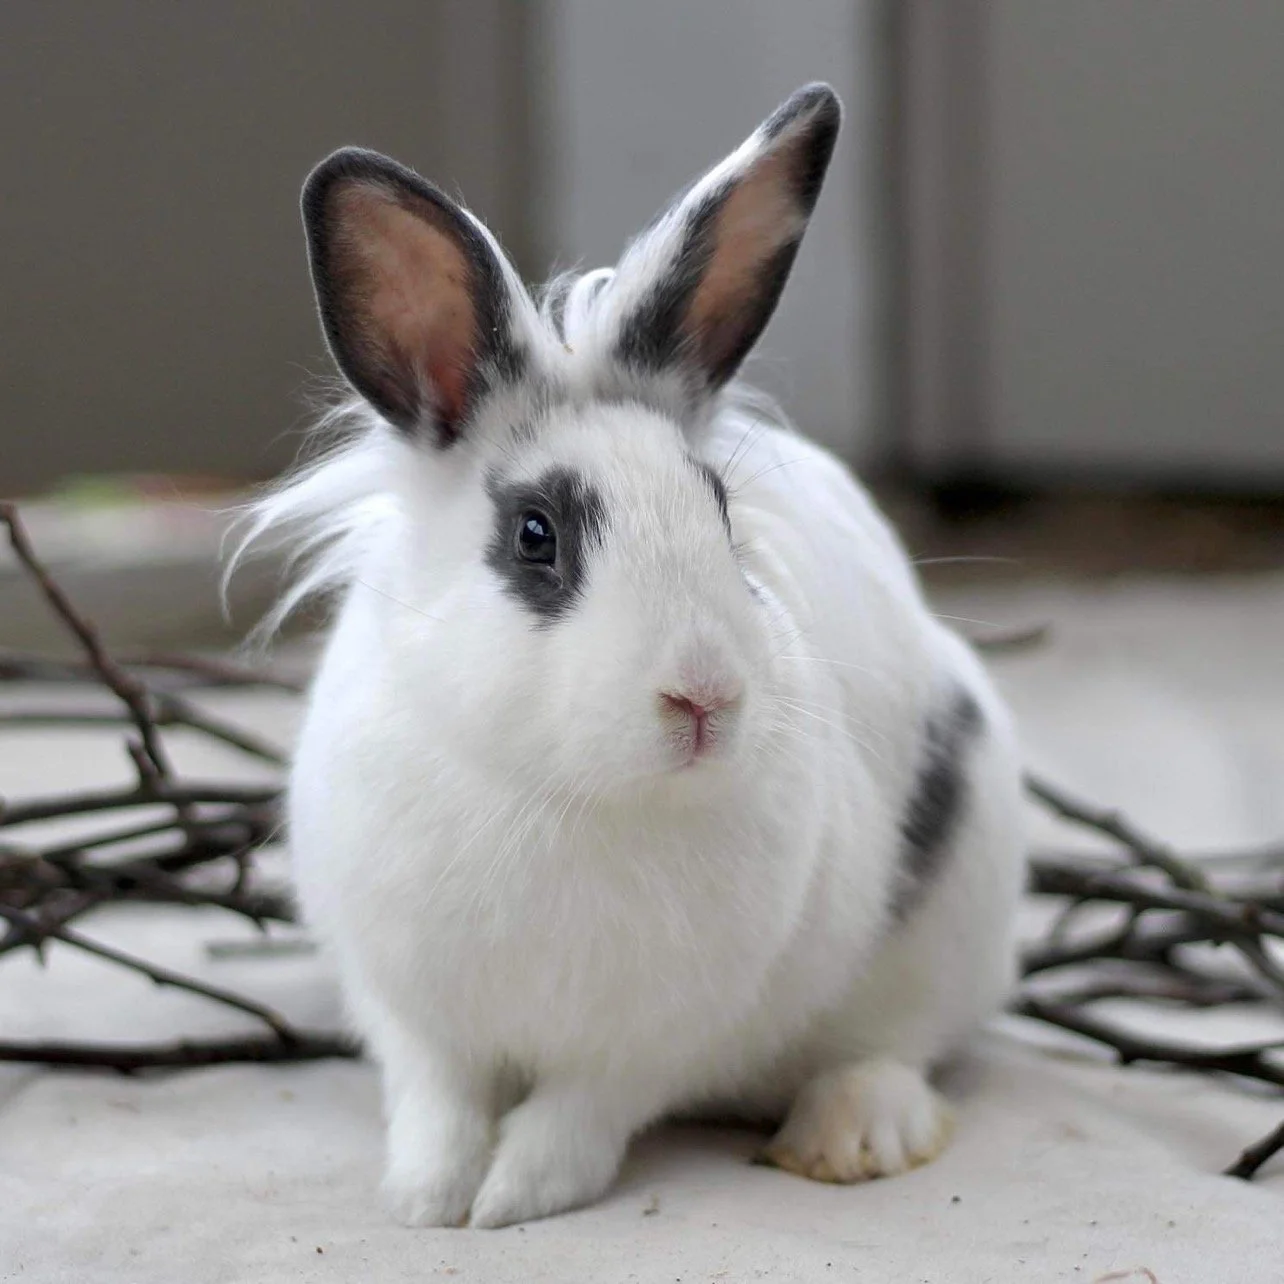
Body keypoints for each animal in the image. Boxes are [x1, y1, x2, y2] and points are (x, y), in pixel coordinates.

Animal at [235, 83, 1026, 1229]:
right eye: (535, 535)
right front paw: (428, 1199)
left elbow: (583, 1111)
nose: (703, 698)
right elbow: (435, 1098)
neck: (561, 796)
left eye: (721, 510)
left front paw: (515, 1198)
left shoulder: (663, 1035)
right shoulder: (406, 1006)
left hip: (954, 911)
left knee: (901, 1046)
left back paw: (849, 1133)